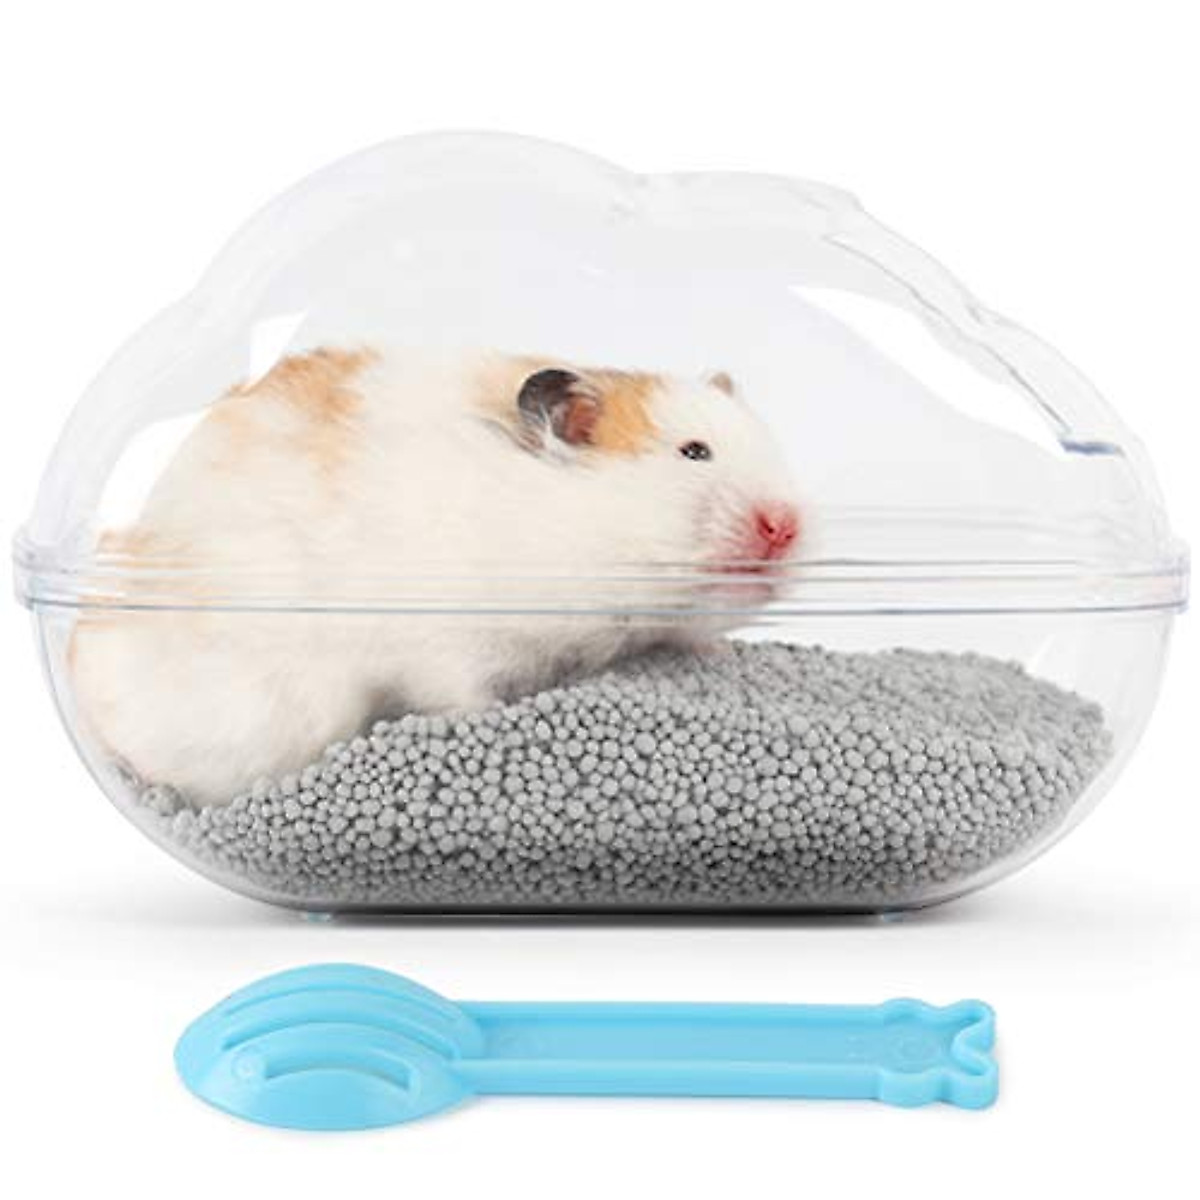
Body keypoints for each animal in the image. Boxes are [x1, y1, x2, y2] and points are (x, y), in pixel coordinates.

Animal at [70, 347, 801, 805]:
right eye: (694, 453)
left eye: (772, 450)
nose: (787, 525)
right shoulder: (442, 642)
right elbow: (459, 694)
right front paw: (493, 724)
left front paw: (717, 654)